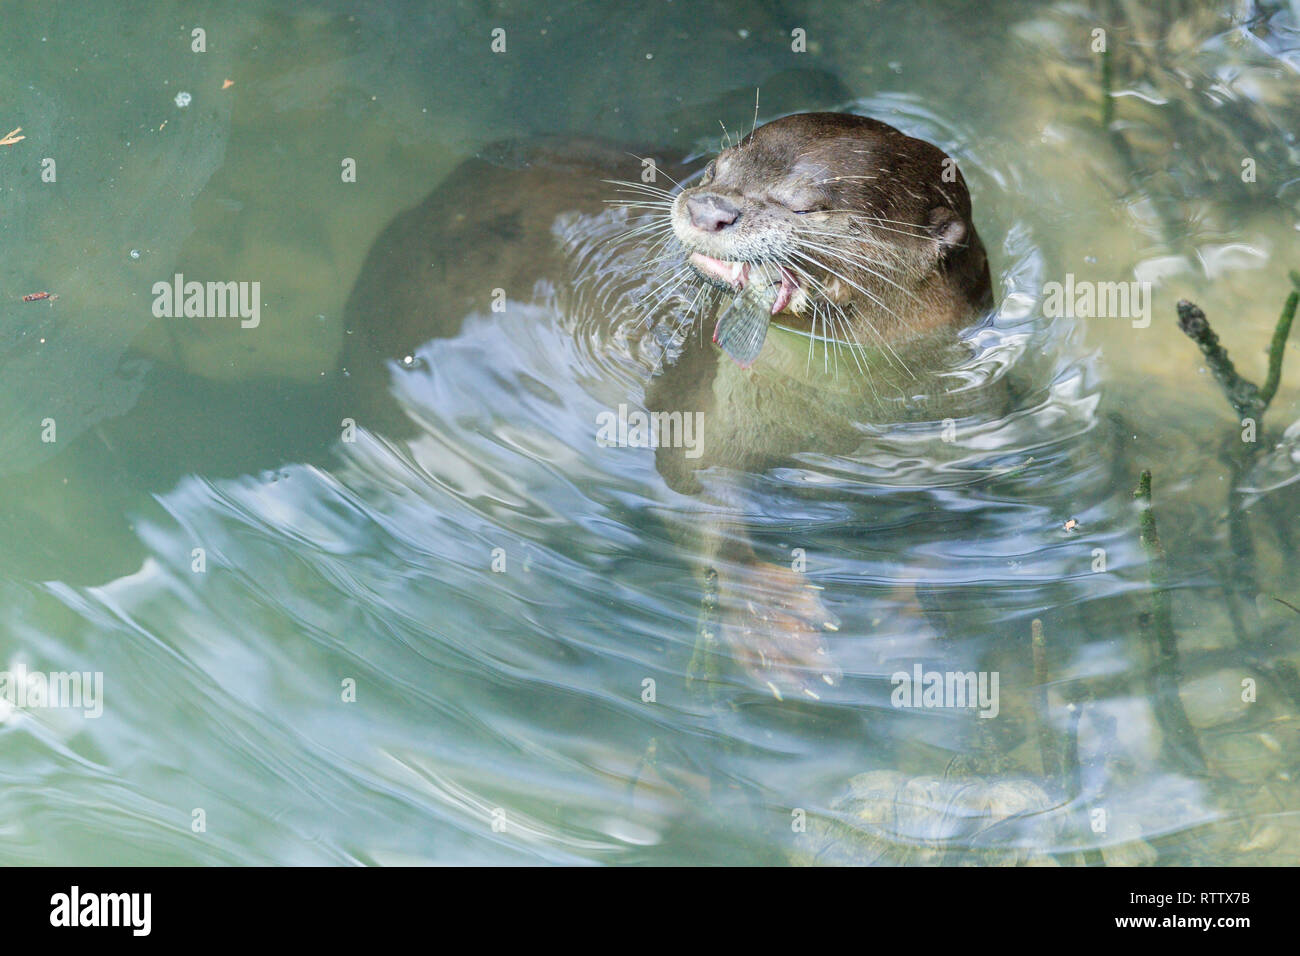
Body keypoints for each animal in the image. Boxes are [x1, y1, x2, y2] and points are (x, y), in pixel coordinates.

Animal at [344, 112, 993, 699]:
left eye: (806, 207)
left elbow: (956, 522)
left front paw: (915, 605)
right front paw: (767, 618)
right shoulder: (704, 404)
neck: (841, 411)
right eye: (714, 168)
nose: (708, 208)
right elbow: (695, 488)